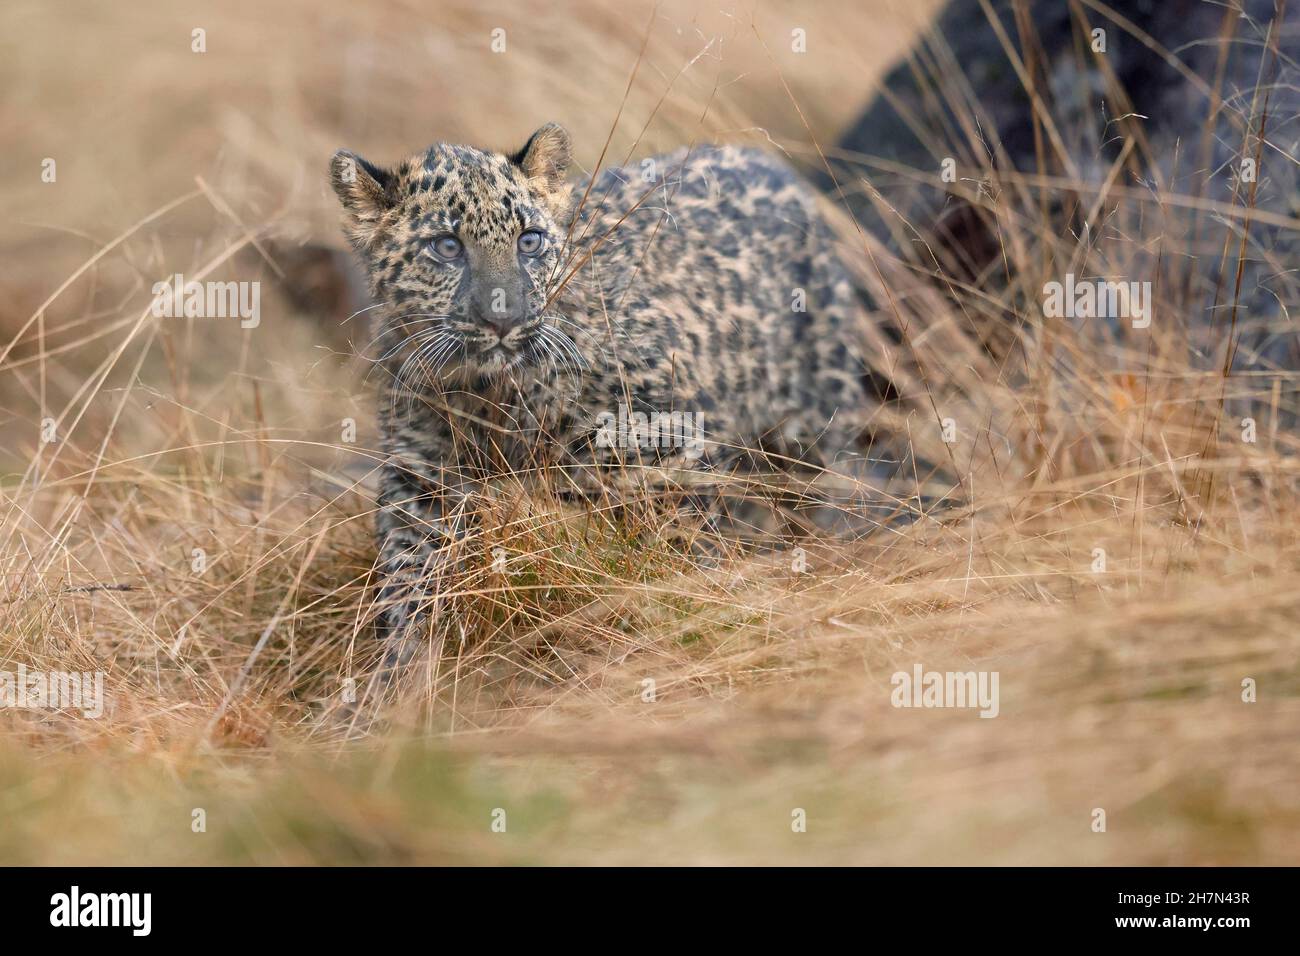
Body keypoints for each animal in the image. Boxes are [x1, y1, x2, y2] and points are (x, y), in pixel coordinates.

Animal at [329, 123, 901, 671]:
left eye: (529, 241)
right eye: (446, 247)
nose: (503, 318)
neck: (487, 392)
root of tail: (769, 161)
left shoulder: (669, 444)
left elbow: (679, 553)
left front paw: (686, 623)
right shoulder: (422, 479)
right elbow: (407, 583)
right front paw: (396, 681)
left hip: (810, 429)